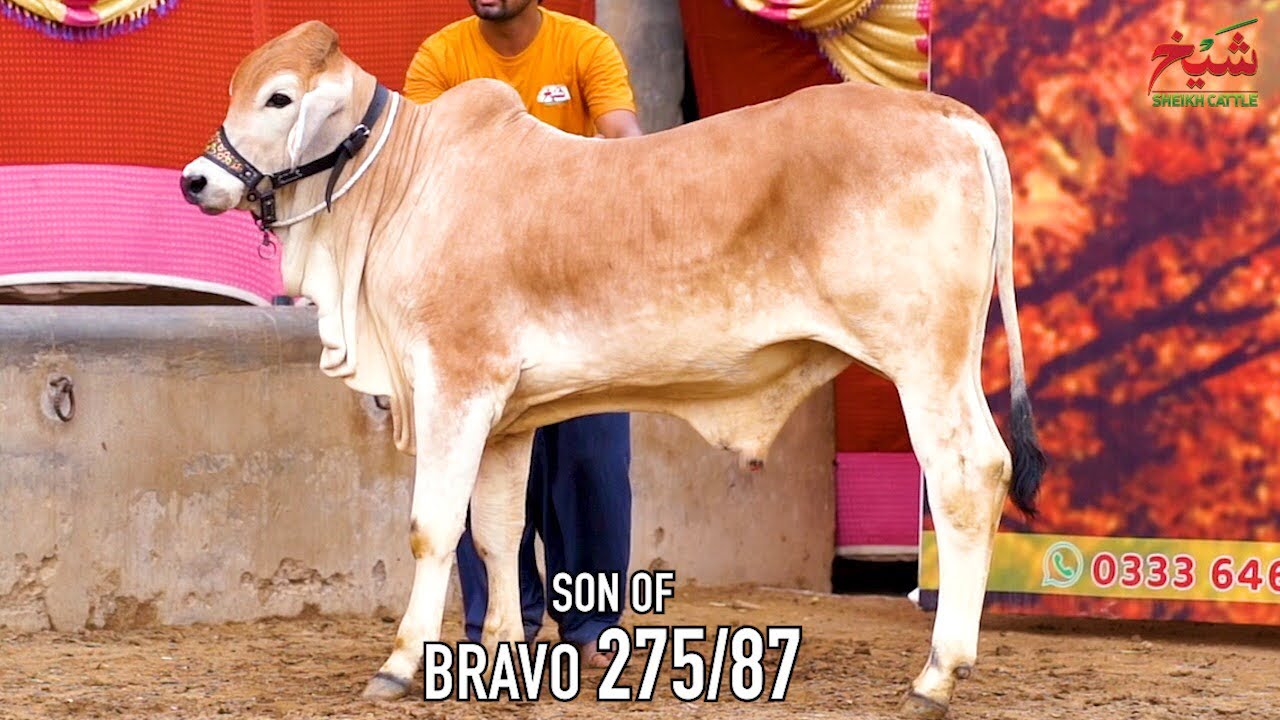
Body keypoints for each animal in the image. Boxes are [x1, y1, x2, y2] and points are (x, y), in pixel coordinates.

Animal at [180, 21, 1046, 718]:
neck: (402, 185)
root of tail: (949, 115)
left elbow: (433, 528)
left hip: (923, 362)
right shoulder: (504, 416)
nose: (196, 180)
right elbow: (497, 535)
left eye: (280, 100)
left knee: (968, 478)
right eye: (236, 90)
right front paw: (500, 658)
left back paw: (937, 674)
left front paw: (398, 666)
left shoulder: (456, 383)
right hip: (948, 364)